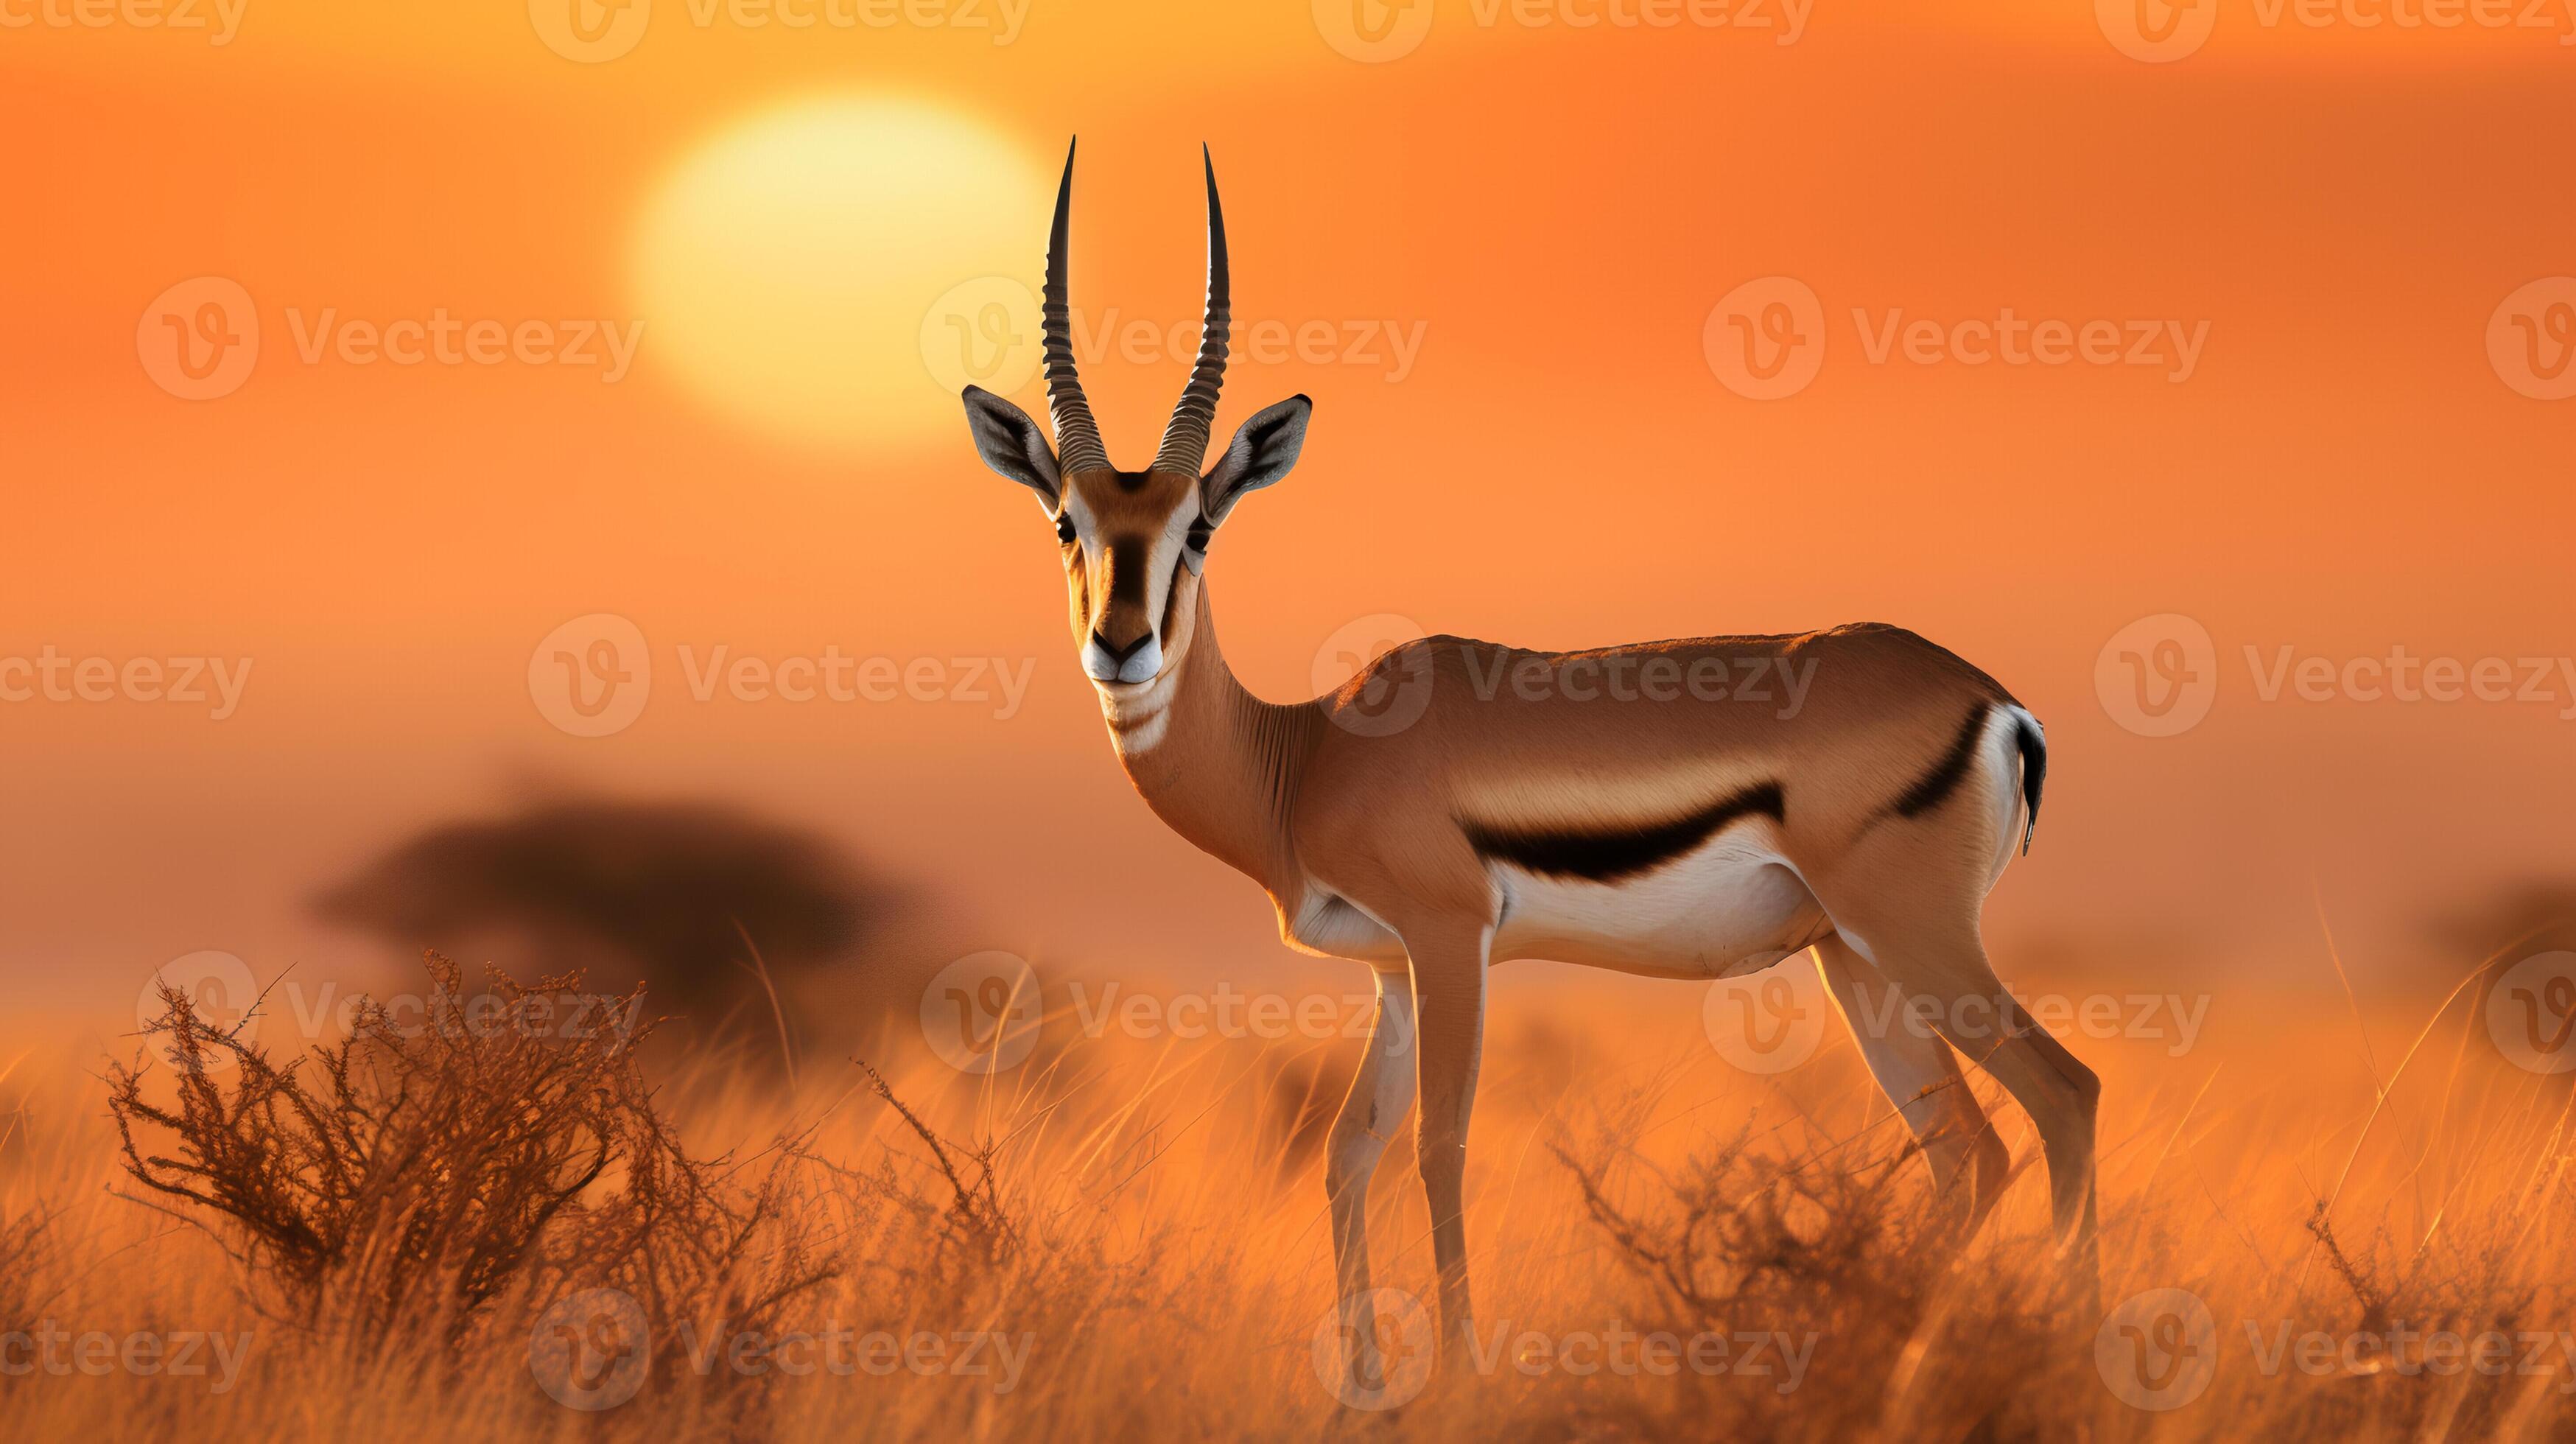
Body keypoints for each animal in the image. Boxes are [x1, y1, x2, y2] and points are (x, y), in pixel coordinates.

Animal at [957, 141, 2100, 1369]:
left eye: (1200, 528)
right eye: (1066, 523)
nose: (1120, 645)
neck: (1303, 755)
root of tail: (1994, 702)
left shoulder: (1450, 941)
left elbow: (1439, 1150)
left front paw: (1459, 1376)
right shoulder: (1391, 973)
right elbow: (1347, 1153)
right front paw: (1360, 1385)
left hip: (1915, 940)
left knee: (2062, 1096)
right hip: (1854, 956)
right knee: (1968, 1149)